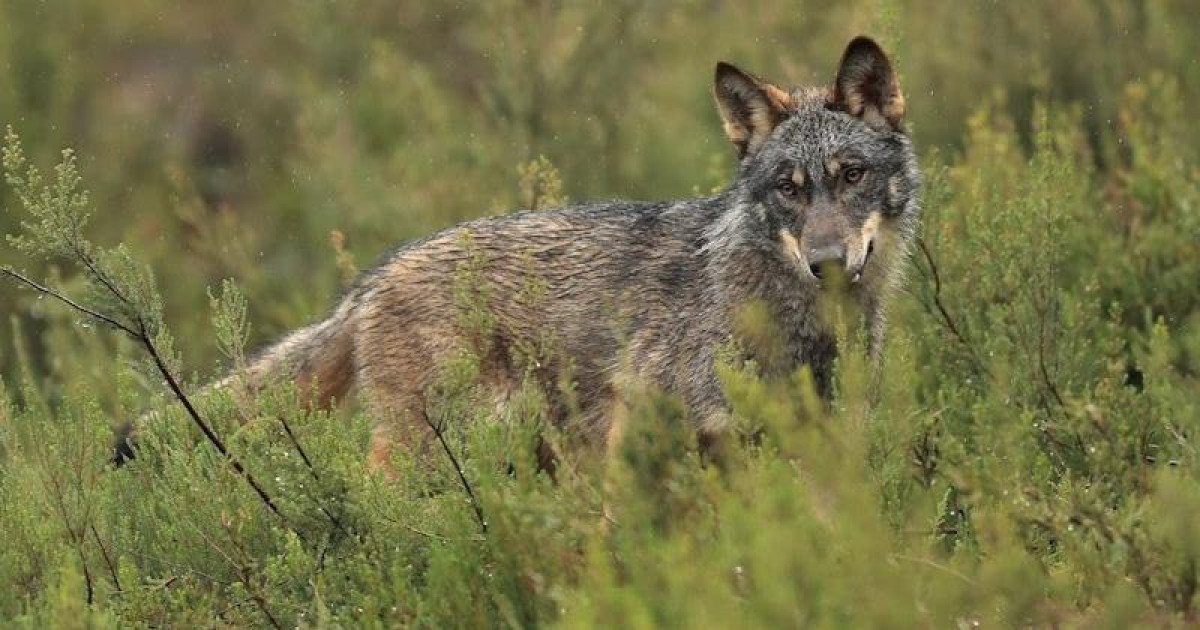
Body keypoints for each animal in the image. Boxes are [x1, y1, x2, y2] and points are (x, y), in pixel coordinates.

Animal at [116, 36, 920, 470]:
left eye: (851, 176)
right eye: (788, 189)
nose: (826, 262)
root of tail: (372, 277)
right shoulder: (648, 429)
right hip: (434, 449)